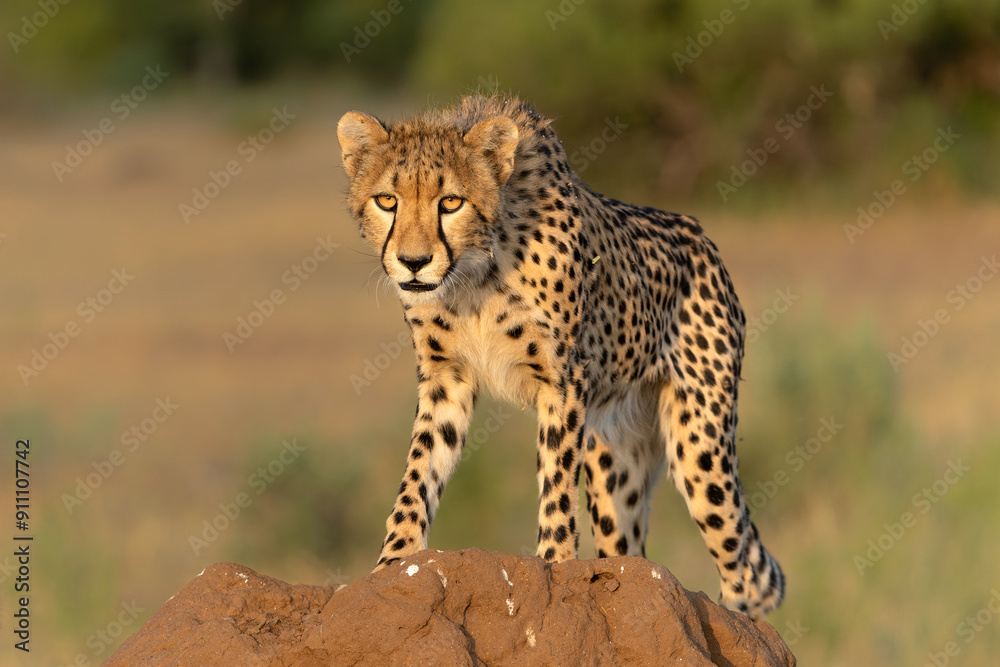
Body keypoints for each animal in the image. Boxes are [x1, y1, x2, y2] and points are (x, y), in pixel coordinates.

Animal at [336, 94, 784, 619]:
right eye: (387, 200)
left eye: (451, 202)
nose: (413, 262)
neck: (474, 272)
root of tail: (703, 238)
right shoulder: (446, 378)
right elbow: (419, 468)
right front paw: (393, 563)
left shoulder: (563, 377)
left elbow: (555, 479)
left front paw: (553, 567)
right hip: (616, 463)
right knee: (628, 547)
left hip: (701, 447)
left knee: (744, 568)